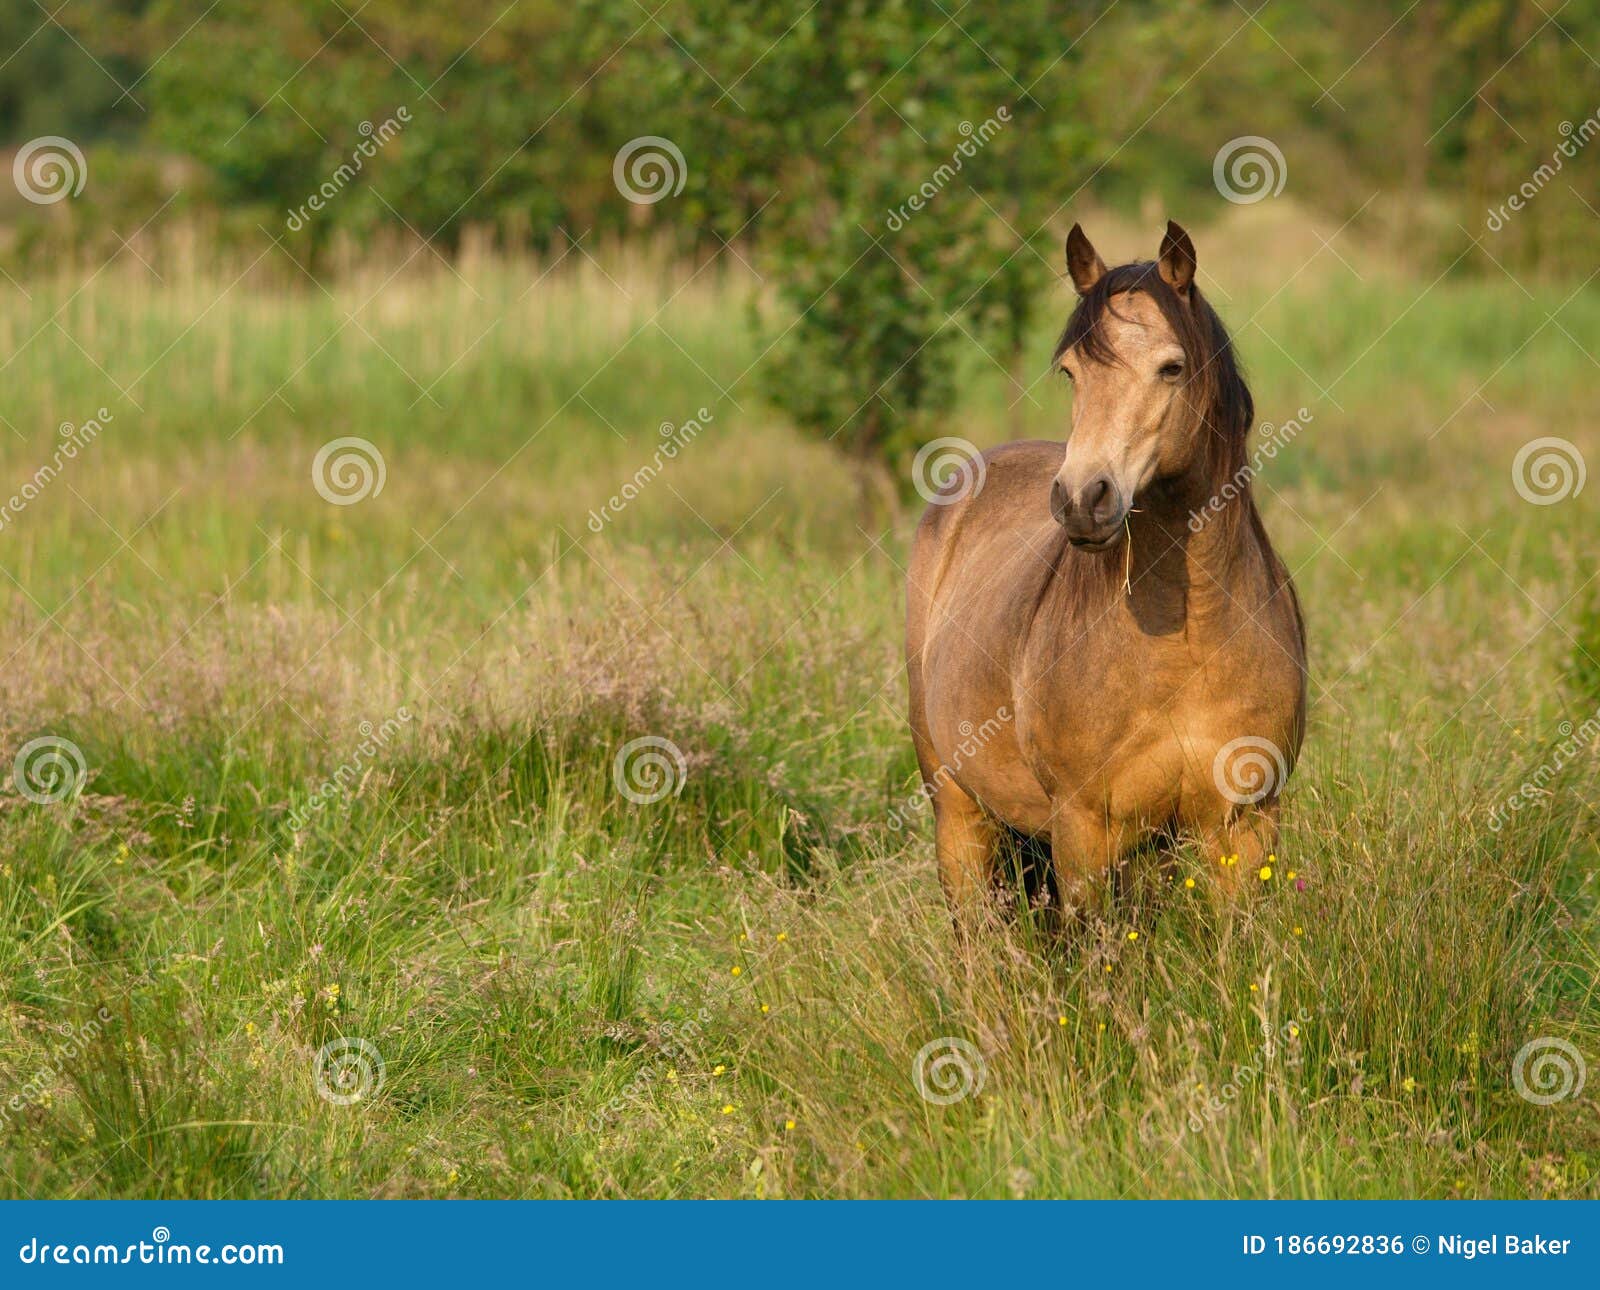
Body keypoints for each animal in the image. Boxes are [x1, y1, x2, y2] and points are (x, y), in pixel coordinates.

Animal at [905, 221, 1306, 924]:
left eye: (1171, 367)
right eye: (1072, 371)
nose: (1080, 500)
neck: (1189, 638)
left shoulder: (1245, 825)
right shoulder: (1085, 831)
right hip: (957, 813)